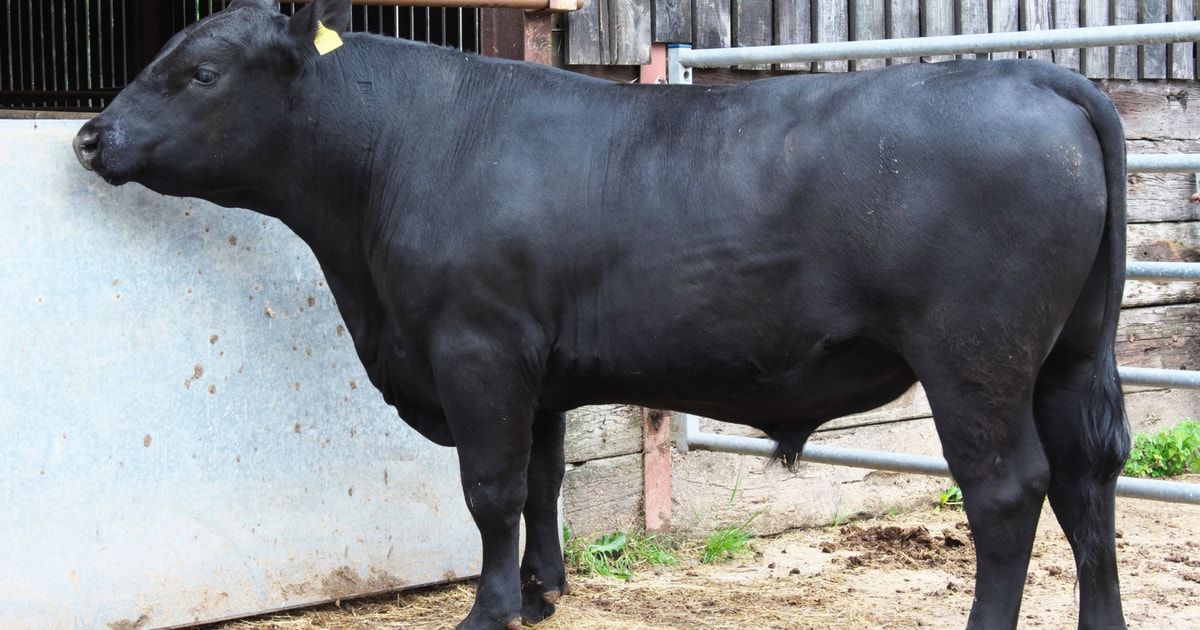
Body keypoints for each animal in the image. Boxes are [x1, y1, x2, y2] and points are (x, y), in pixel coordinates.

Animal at [72, 0, 1130, 628]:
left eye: (201, 72)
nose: (89, 134)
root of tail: (1037, 73)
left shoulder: (477, 348)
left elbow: (490, 491)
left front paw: (490, 610)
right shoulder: (534, 370)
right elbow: (543, 483)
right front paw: (544, 594)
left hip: (976, 358)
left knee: (1008, 493)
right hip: (1071, 356)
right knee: (1087, 482)